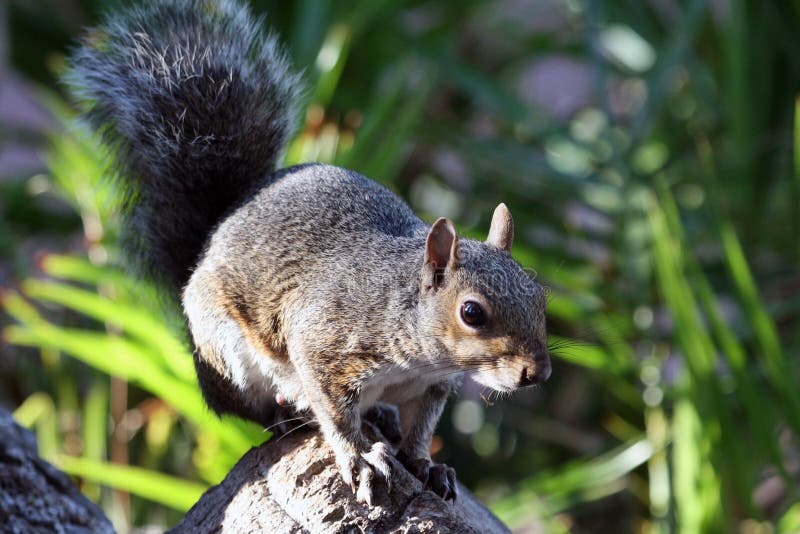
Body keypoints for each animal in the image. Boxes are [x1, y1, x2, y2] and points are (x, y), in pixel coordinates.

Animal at [67, 0, 551, 505]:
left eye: (540, 297)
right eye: (471, 313)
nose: (537, 373)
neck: (415, 345)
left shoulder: (431, 386)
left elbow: (421, 431)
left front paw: (425, 464)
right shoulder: (325, 345)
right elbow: (334, 414)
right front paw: (360, 458)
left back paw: (380, 417)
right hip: (226, 353)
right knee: (246, 408)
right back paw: (285, 412)